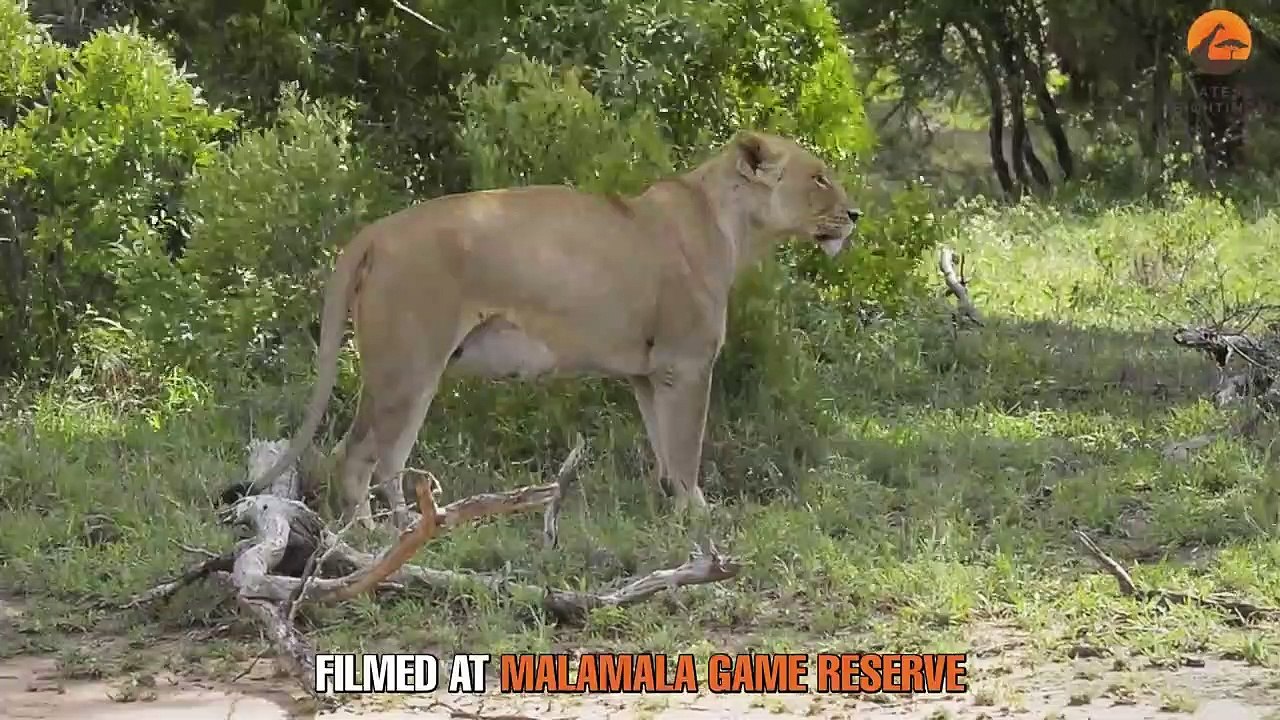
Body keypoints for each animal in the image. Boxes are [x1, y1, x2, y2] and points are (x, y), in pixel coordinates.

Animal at [241, 130, 861, 538]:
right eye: (819, 177)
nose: (855, 215)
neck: (731, 225)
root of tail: (373, 232)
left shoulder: (648, 373)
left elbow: (665, 450)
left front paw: (672, 510)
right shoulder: (687, 363)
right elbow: (686, 449)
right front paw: (700, 517)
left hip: (413, 375)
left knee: (388, 459)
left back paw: (410, 529)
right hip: (406, 366)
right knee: (354, 454)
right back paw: (372, 538)